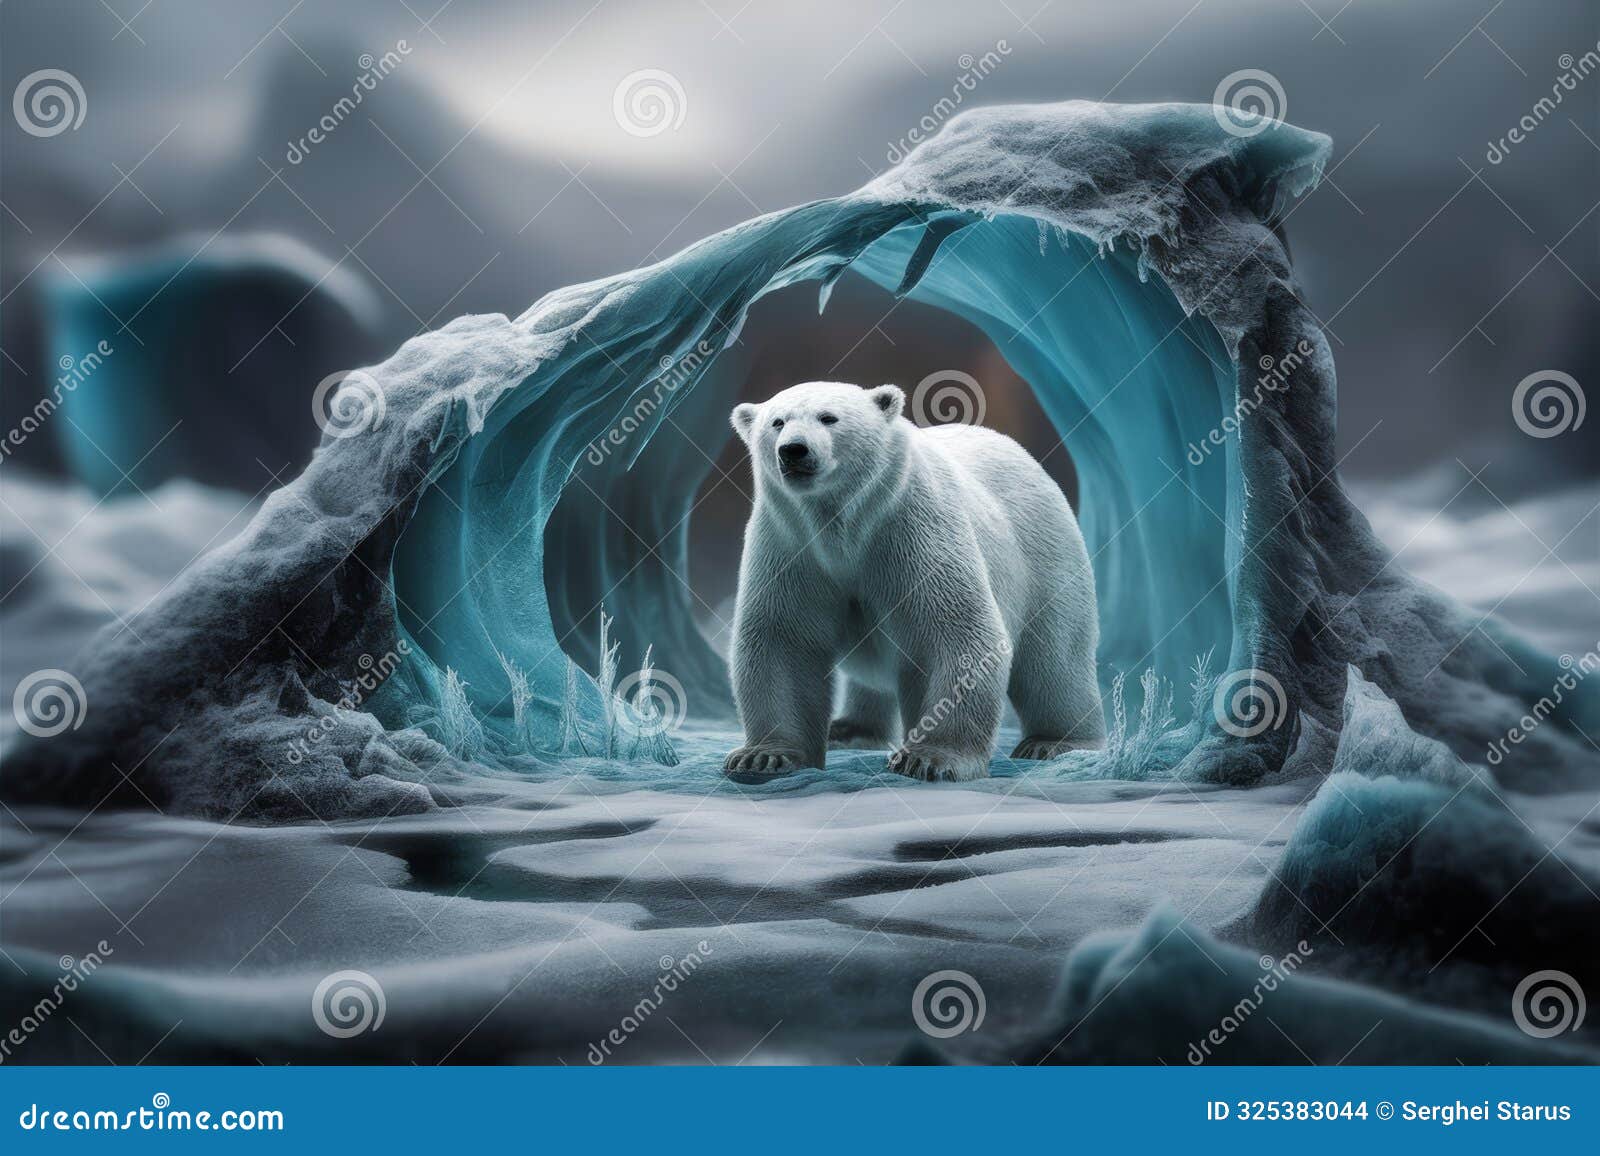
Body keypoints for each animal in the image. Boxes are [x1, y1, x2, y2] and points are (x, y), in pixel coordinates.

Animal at [722, 380, 1103, 782]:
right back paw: (850, 729)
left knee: (1054, 655)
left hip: (1043, 551)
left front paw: (929, 759)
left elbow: (957, 631)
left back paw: (1054, 742)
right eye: (777, 421)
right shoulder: (791, 544)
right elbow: (783, 639)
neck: (844, 523)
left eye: (828, 417)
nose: (793, 450)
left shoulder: (913, 527)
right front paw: (763, 756)